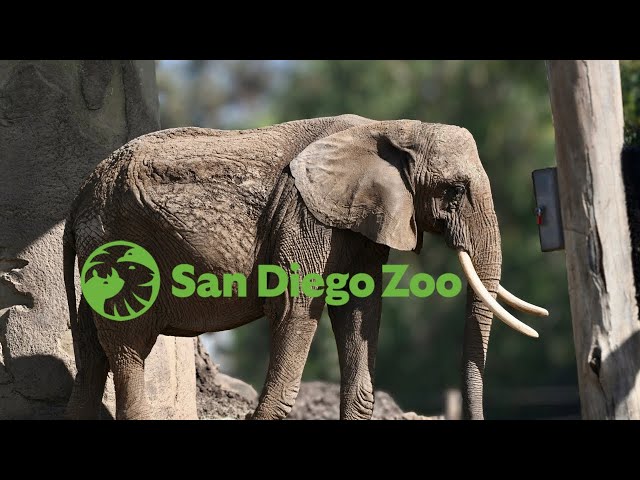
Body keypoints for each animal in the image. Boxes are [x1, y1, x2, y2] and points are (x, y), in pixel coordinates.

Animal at [63, 114, 548, 420]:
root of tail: (79, 193)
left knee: (91, 354)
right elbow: (296, 309)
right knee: (126, 346)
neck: (391, 128)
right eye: (453, 191)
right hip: (119, 246)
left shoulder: (360, 223)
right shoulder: (304, 215)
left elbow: (359, 311)